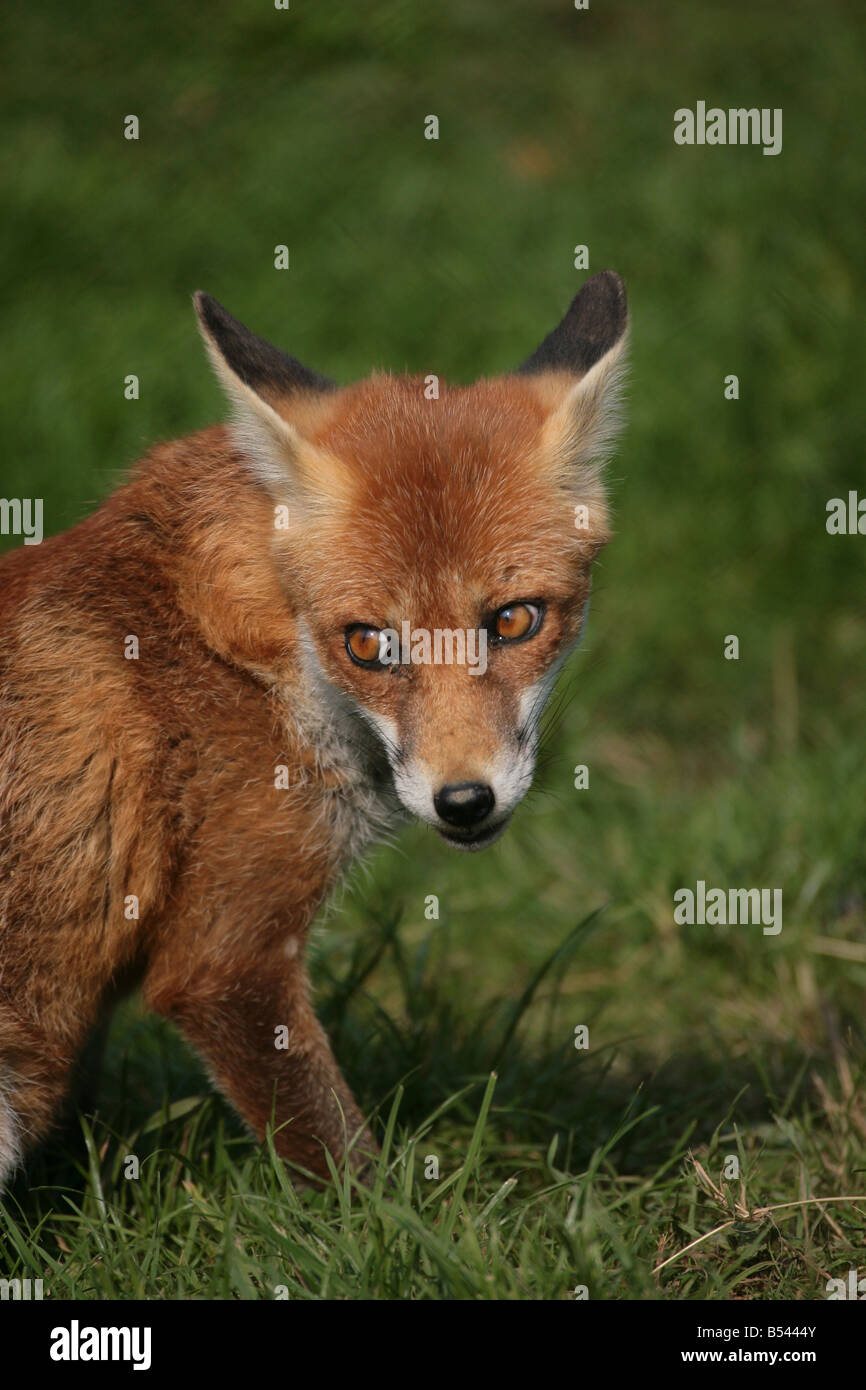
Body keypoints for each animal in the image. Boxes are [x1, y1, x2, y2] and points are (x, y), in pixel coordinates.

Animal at [0, 270, 628, 1186]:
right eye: (368, 643)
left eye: (514, 620)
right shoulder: (223, 960)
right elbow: (342, 1160)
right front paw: (398, 1216)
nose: (464, 802)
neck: (253, 655)